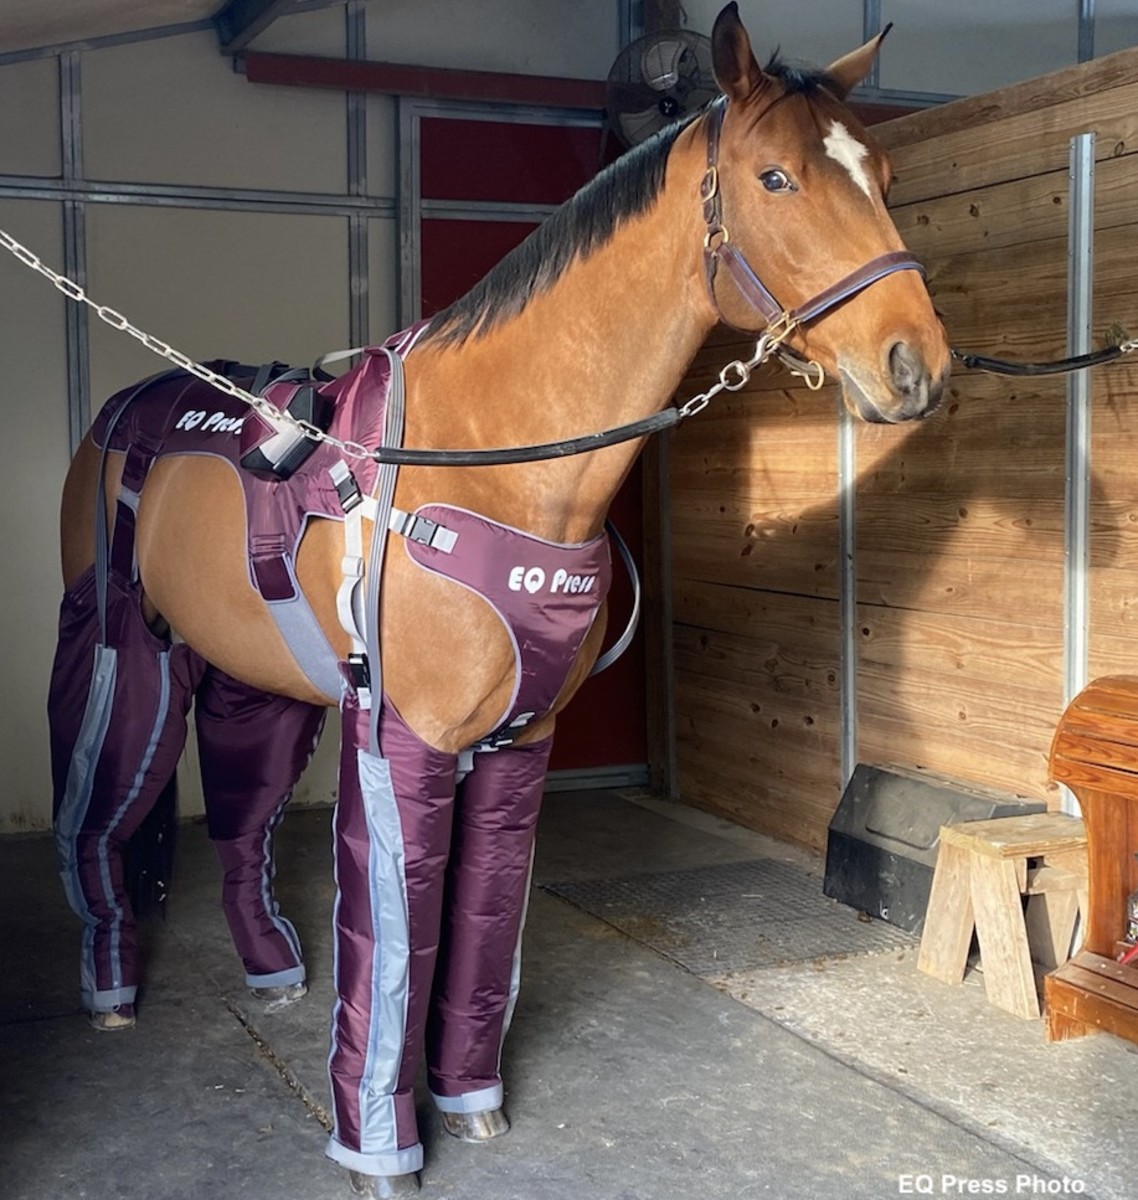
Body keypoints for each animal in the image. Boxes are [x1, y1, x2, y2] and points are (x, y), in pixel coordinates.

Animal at [47, 5, 950, 1197]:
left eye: (884, 174)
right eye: (775, 178)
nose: (918, 367)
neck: (489, 462)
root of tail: (127, 408)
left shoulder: (519, 745)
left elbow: (478, 927)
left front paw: (470, 1104)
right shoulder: (403, 742)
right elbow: (398, 939)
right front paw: (381, 1149)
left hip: (256, 686)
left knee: (240, 827)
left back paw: (271, 970)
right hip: (124, 655)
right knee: (100, 816)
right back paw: (108, 988)